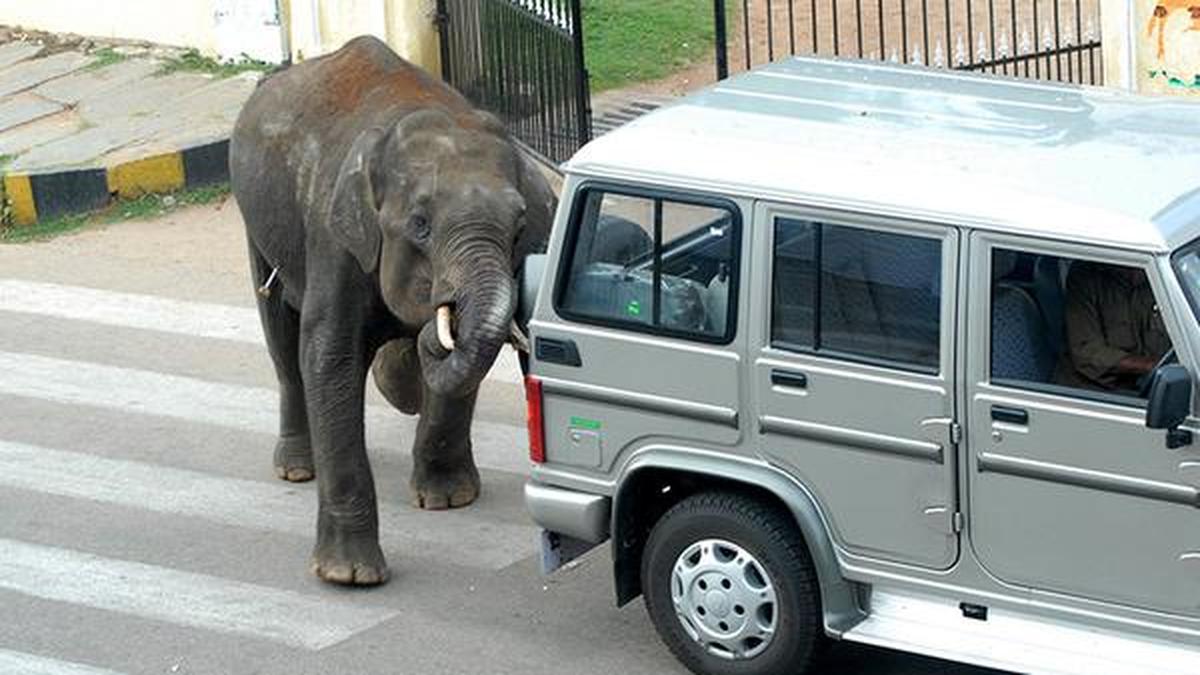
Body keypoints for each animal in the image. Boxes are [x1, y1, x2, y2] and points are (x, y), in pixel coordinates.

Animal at [228, 36, 556, 586]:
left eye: (518, 227)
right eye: (420, 225)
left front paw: (447, 500)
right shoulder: (335, 238)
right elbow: (329, 359)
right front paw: (349, 576)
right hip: (259, 224)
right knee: (282, 339)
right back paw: (297, 468)